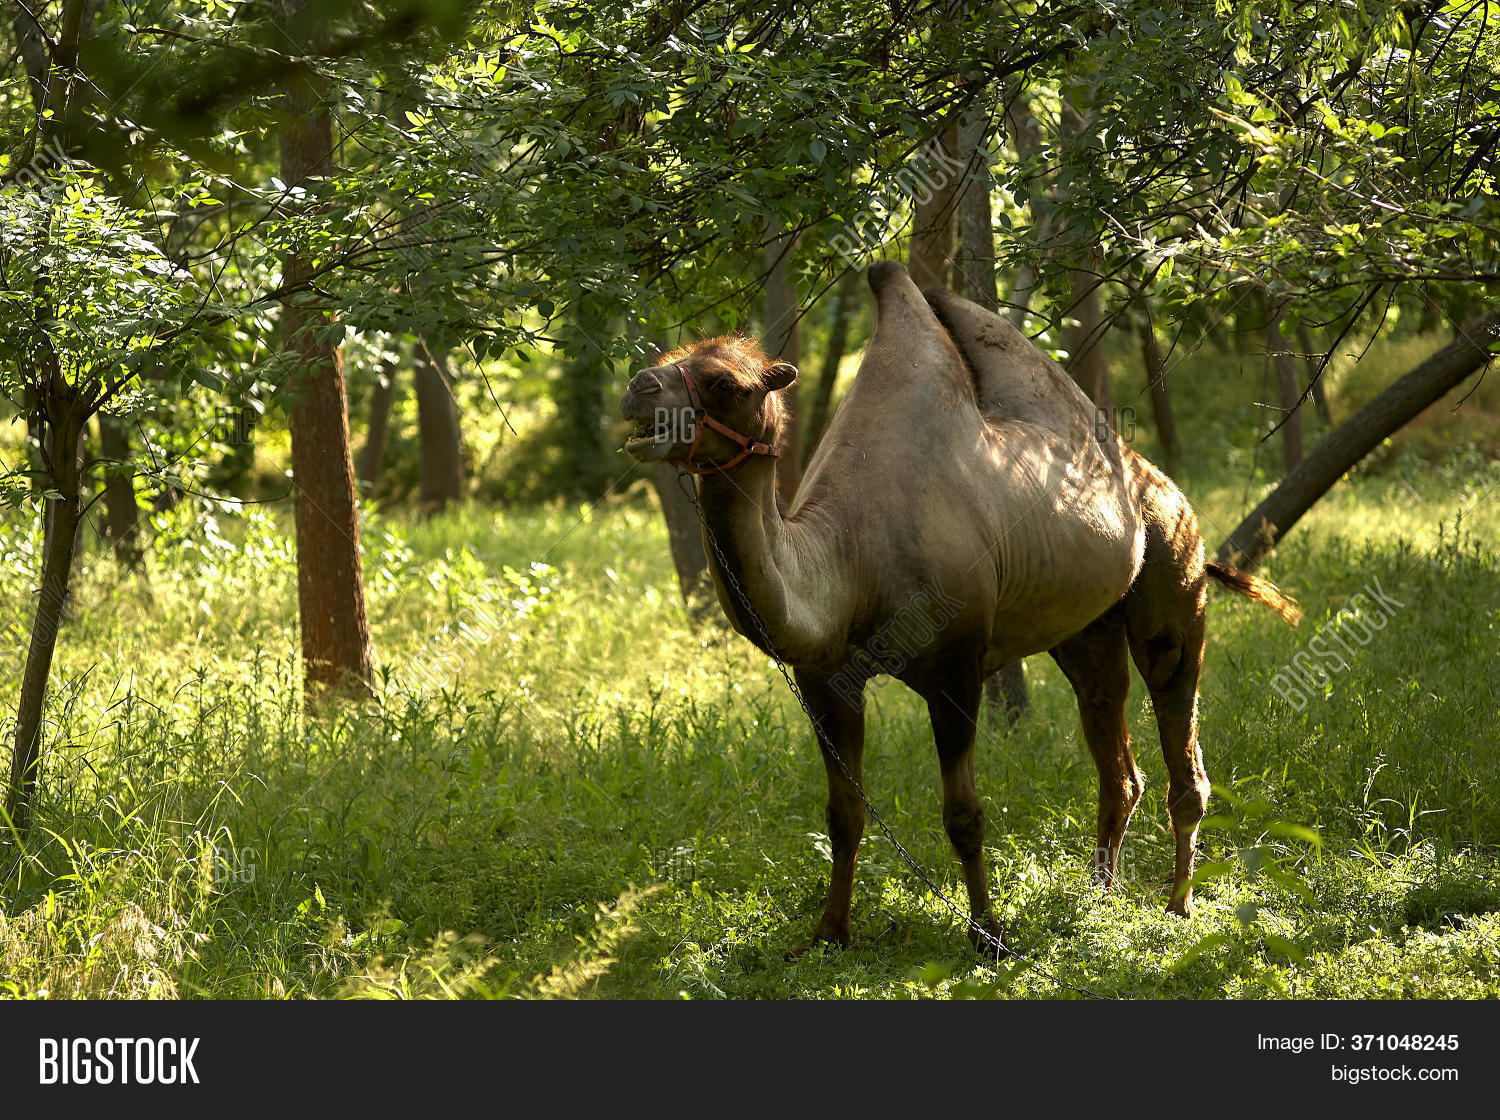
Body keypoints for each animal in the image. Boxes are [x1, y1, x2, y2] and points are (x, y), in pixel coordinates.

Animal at [620, 260, 1299, 954]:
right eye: (667, 358)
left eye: (724, 382)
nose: (638, 387)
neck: (851, 560)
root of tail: (1157, 477)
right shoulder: (825, 681)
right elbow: (844, 815)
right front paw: (829, 934)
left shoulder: (956, 667)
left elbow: (964, 816)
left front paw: (988, 936)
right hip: (1086, 629)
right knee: (1114, 753)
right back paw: (1102, 899)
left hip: (1174, 571)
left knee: (1177, 723)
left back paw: (1177, 907)